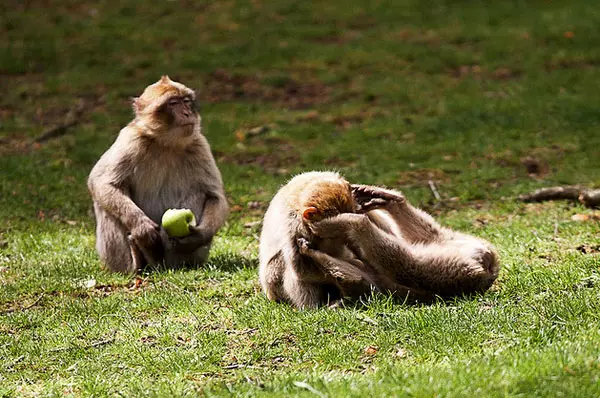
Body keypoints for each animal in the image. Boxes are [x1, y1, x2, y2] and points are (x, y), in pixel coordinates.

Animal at [88, 75, 229, 274]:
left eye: (186, 101)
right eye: (173, 103)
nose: (187, 113)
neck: (166, 143)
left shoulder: (199, 144)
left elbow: (214, 196)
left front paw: (198, 236)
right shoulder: (131, 139)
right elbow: (102, 182)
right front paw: (141, 226)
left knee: (198, 194)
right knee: (106, 204)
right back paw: (138, 260)